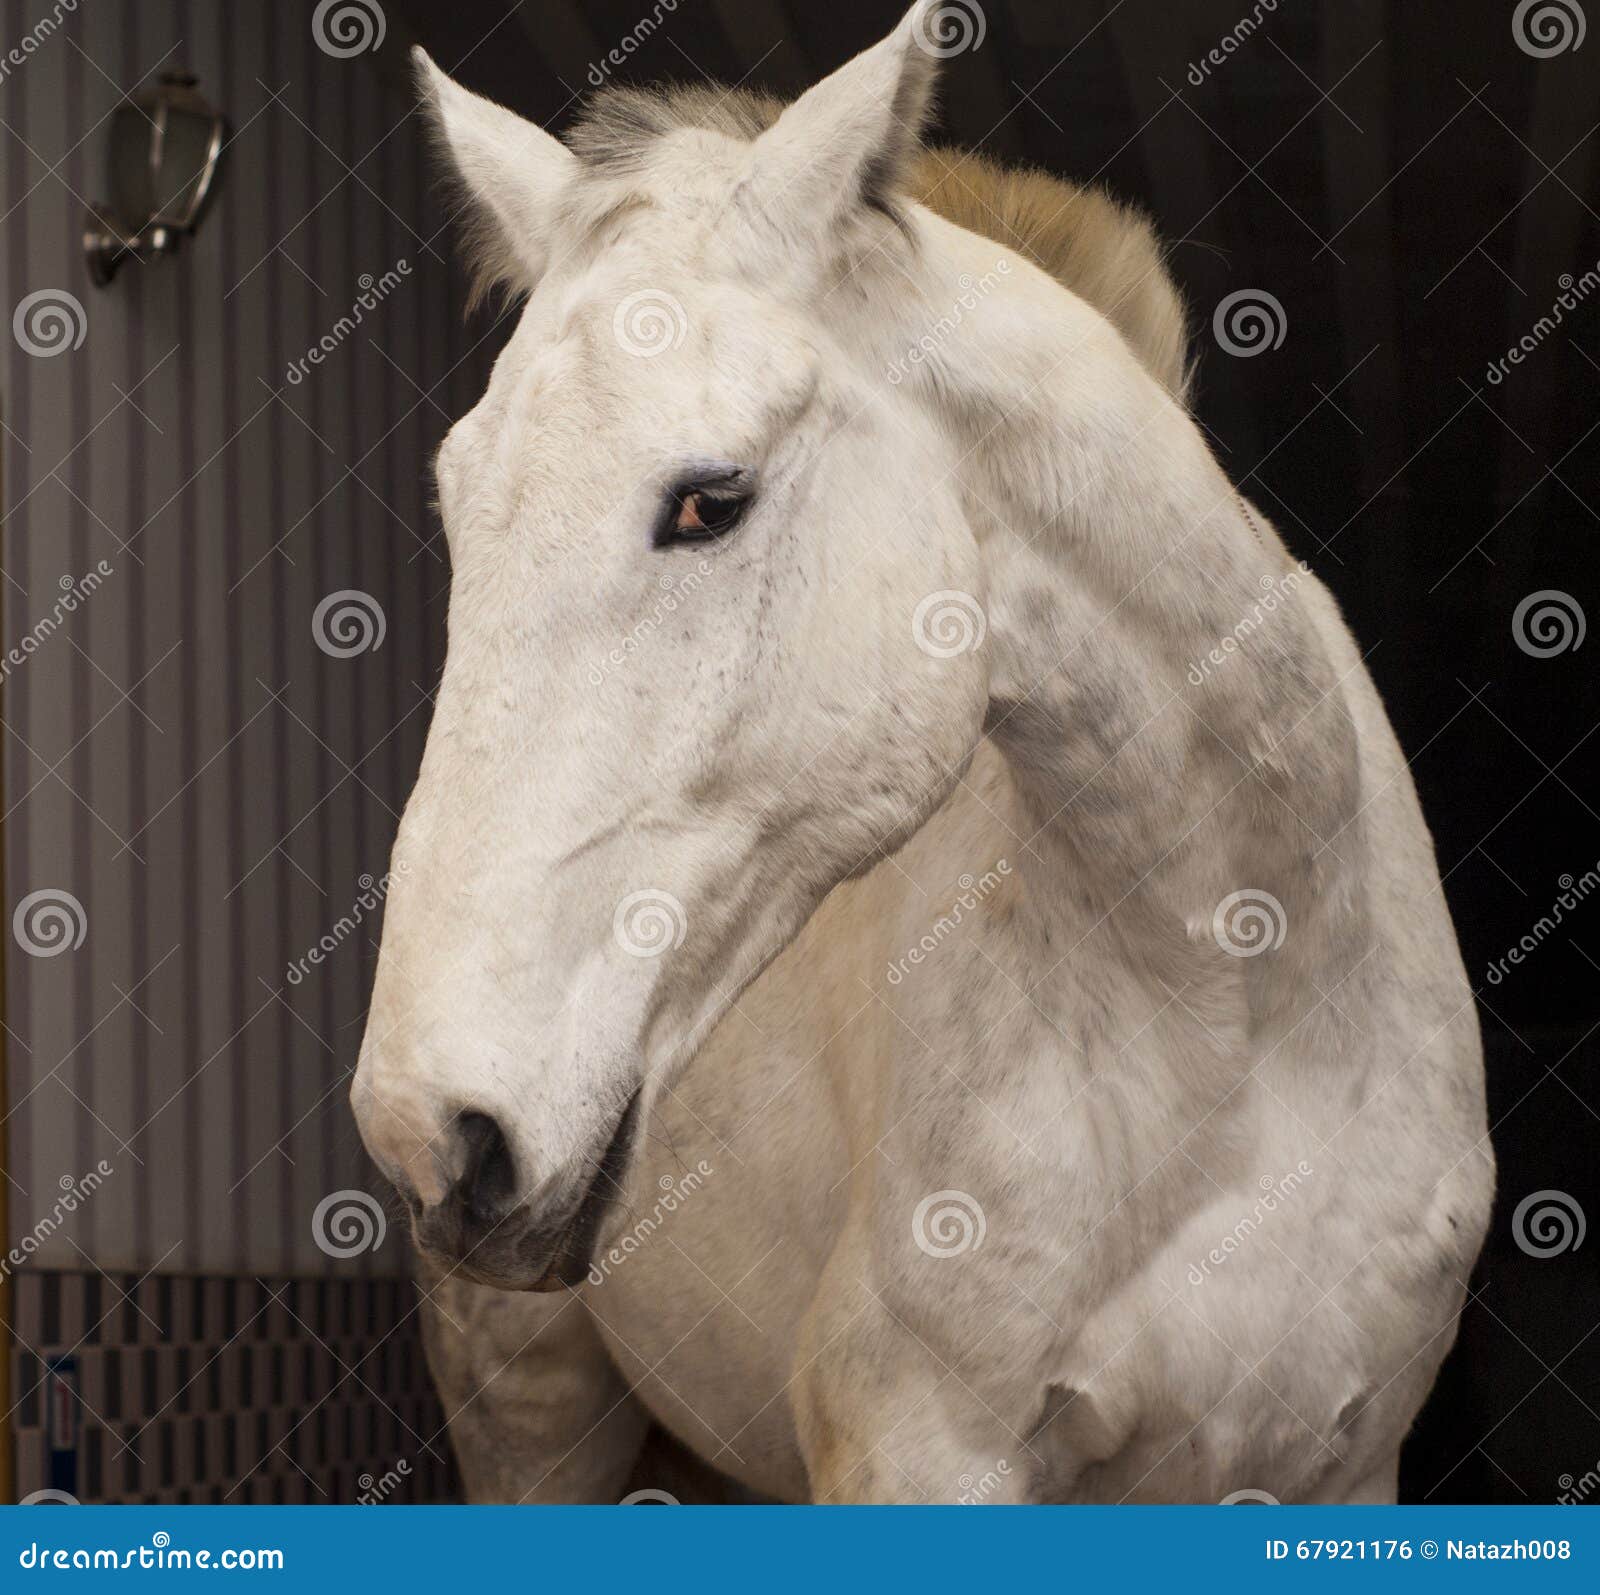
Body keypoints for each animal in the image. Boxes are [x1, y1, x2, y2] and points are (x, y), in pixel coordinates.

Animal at [351, 3, 1493, 1504]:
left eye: (708, 501)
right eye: (457, 499)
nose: (433, 1129)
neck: (1240, 1020)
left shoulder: (1343, 1471)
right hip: (533, 1417)